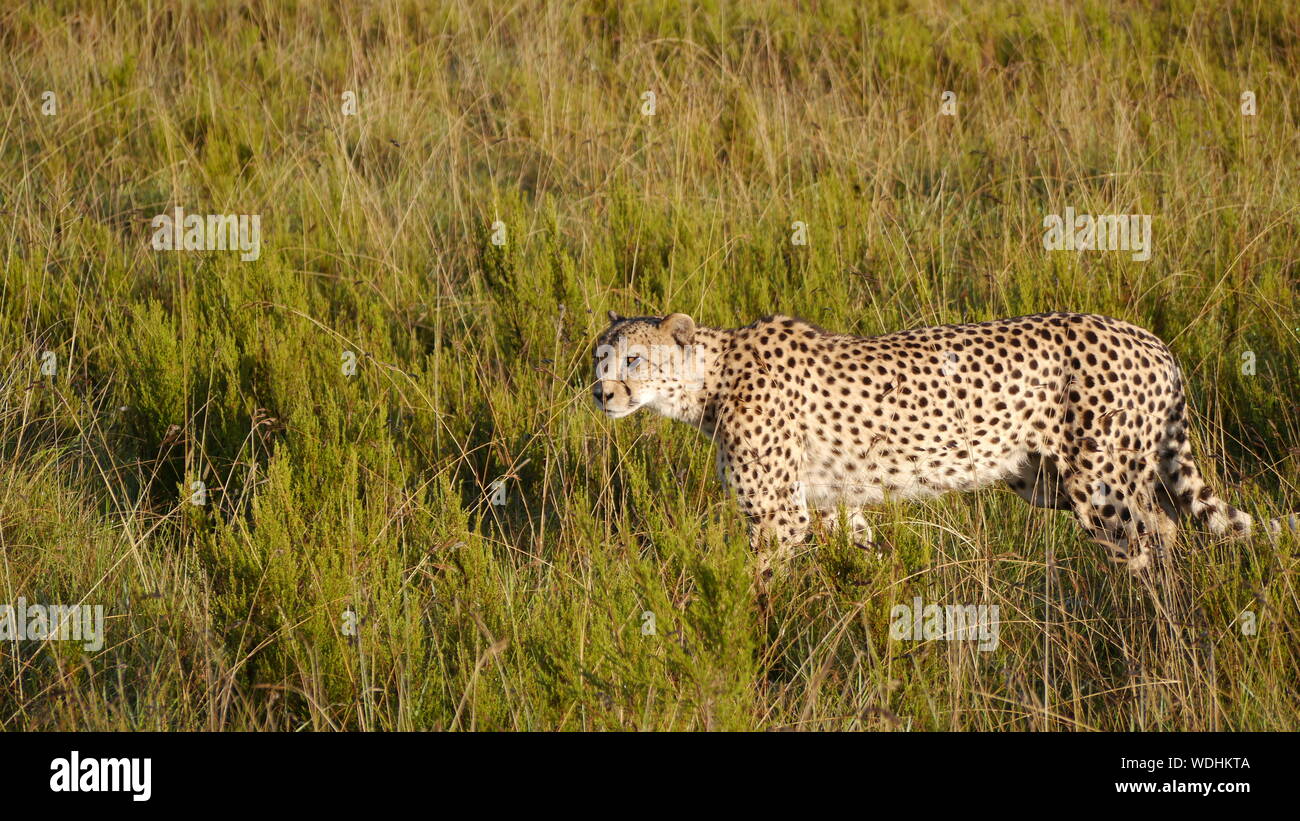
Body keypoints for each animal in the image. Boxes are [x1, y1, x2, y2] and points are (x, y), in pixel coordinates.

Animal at [591, 310, 1297, 575]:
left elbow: (762, 583)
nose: (601, 393)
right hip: (1052, 481)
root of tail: (1149, 336)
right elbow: (863, 561)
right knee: (1167, 526)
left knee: (1152, 539)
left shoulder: (778, 517)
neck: (710, 379)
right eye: (598, 359)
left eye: (633, 361)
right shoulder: (832, 505)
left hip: (1099, 482)